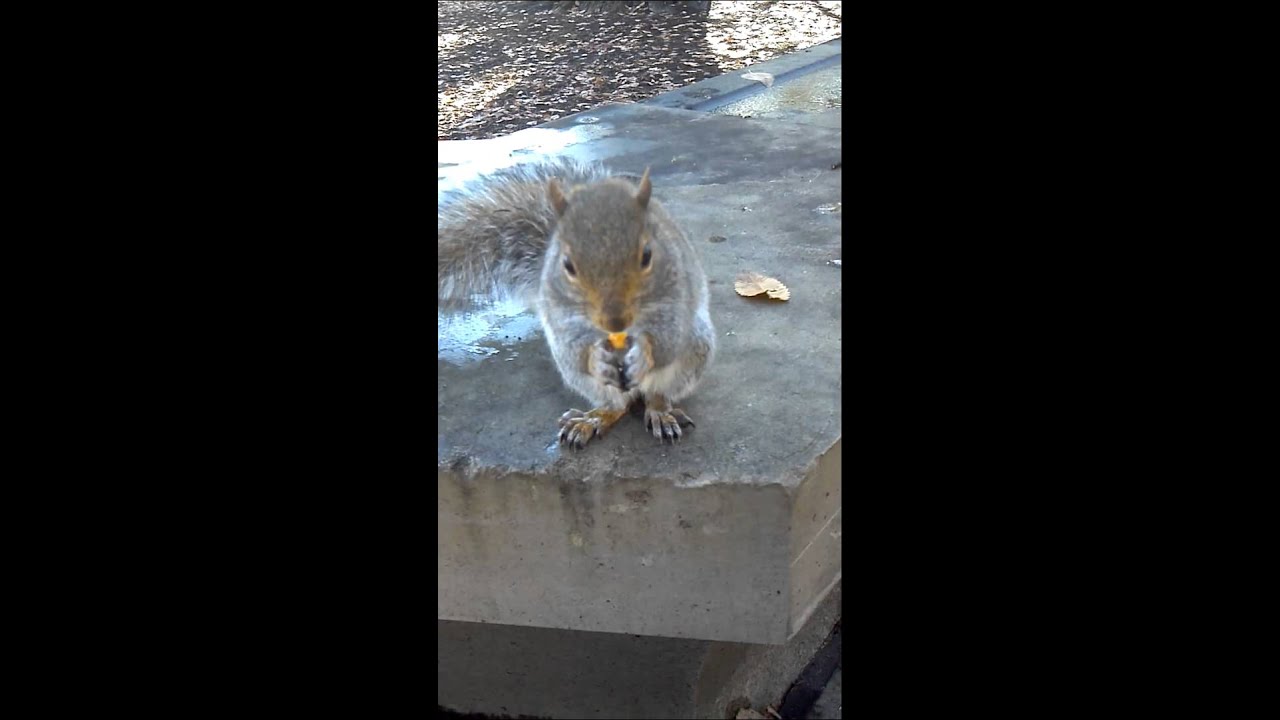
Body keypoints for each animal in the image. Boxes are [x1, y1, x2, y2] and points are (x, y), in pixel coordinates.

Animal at [438, 159, 716, 448]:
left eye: (647, 255)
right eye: (568, 265)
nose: (615, 321)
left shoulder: (677, 298)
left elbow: (668, 340)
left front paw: (644, 355)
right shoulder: (561, 314)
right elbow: (575, 346)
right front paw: (595, 360)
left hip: (696, 350)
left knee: (657, 394)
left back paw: (659, 411)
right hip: (579, 376)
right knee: (618, 405)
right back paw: (593, 419)